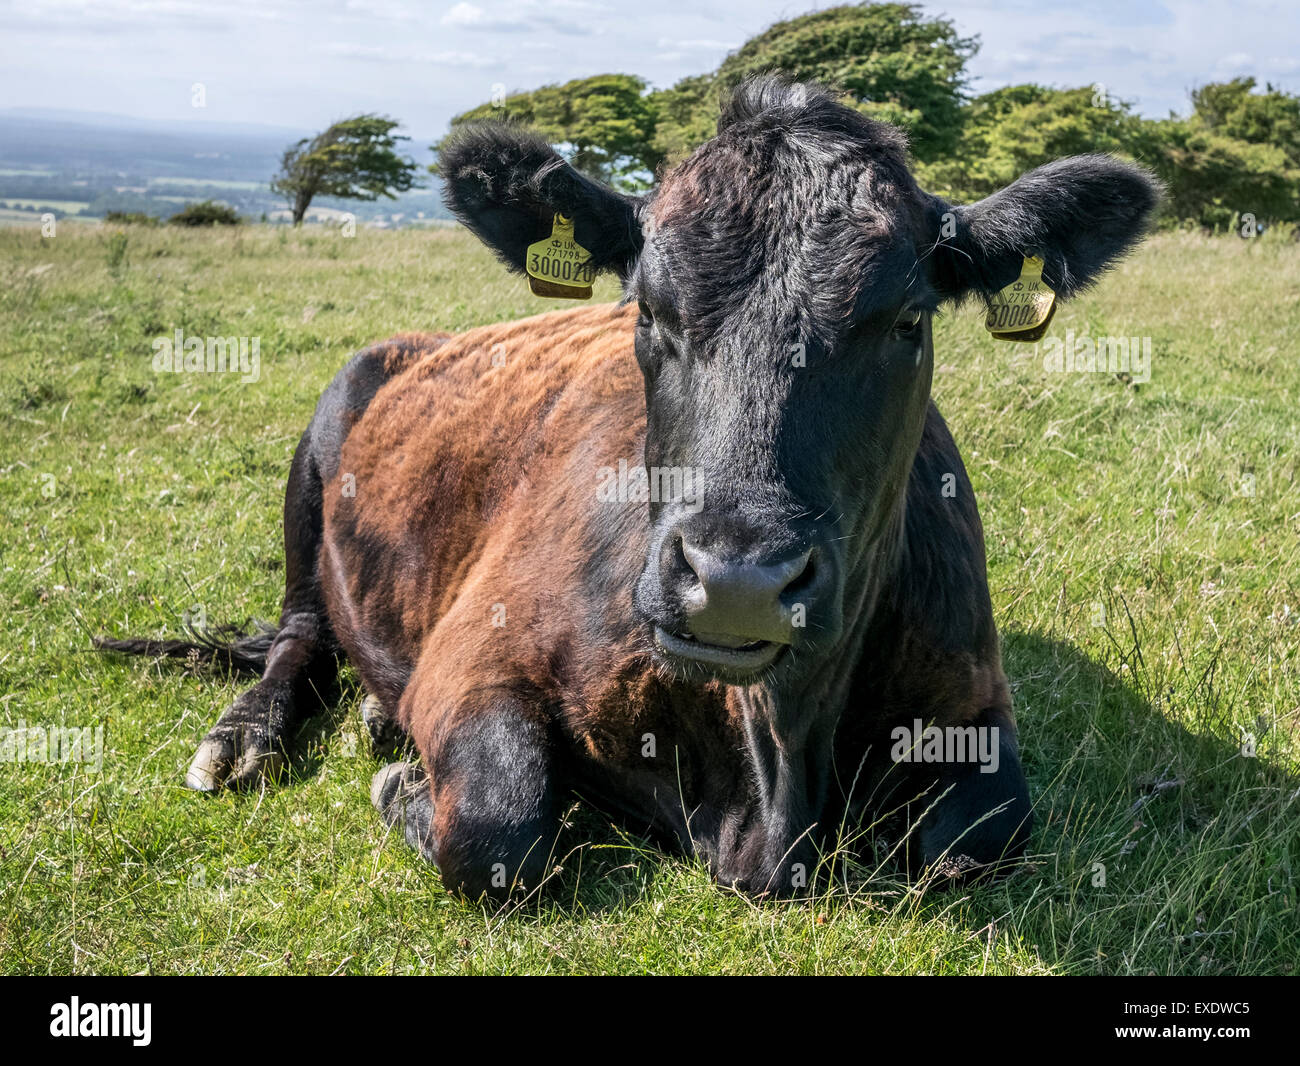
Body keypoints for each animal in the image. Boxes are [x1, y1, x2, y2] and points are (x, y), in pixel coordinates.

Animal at [98, 78, 1159, 900]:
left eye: (907, 320)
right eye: (647, 309)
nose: (737, 580)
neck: (769, 780)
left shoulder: (975, 705)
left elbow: (977, 842)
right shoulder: (476, 655)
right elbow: (495, 825)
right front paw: (404, 787)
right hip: (319, 453)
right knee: (299, 631)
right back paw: (249, 735)